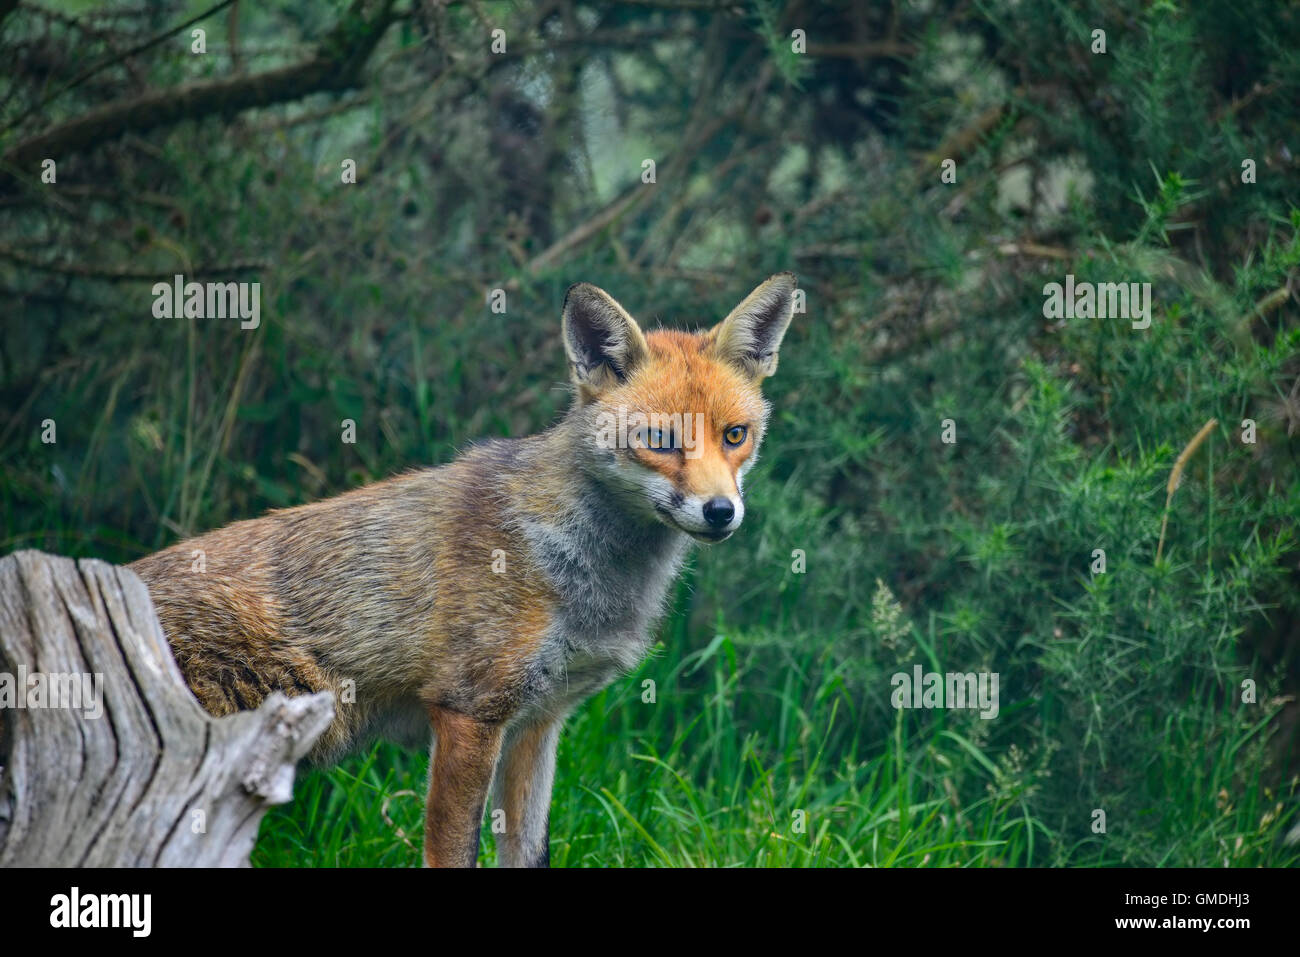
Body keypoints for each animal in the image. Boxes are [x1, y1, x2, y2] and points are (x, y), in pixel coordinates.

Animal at [129, 271, 798, 867]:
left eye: (735, 435)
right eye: (660, 440)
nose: (721, 512)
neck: (575, 567)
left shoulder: (539, 721)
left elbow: (528, 853)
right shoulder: (469, 711)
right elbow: (454, 854)